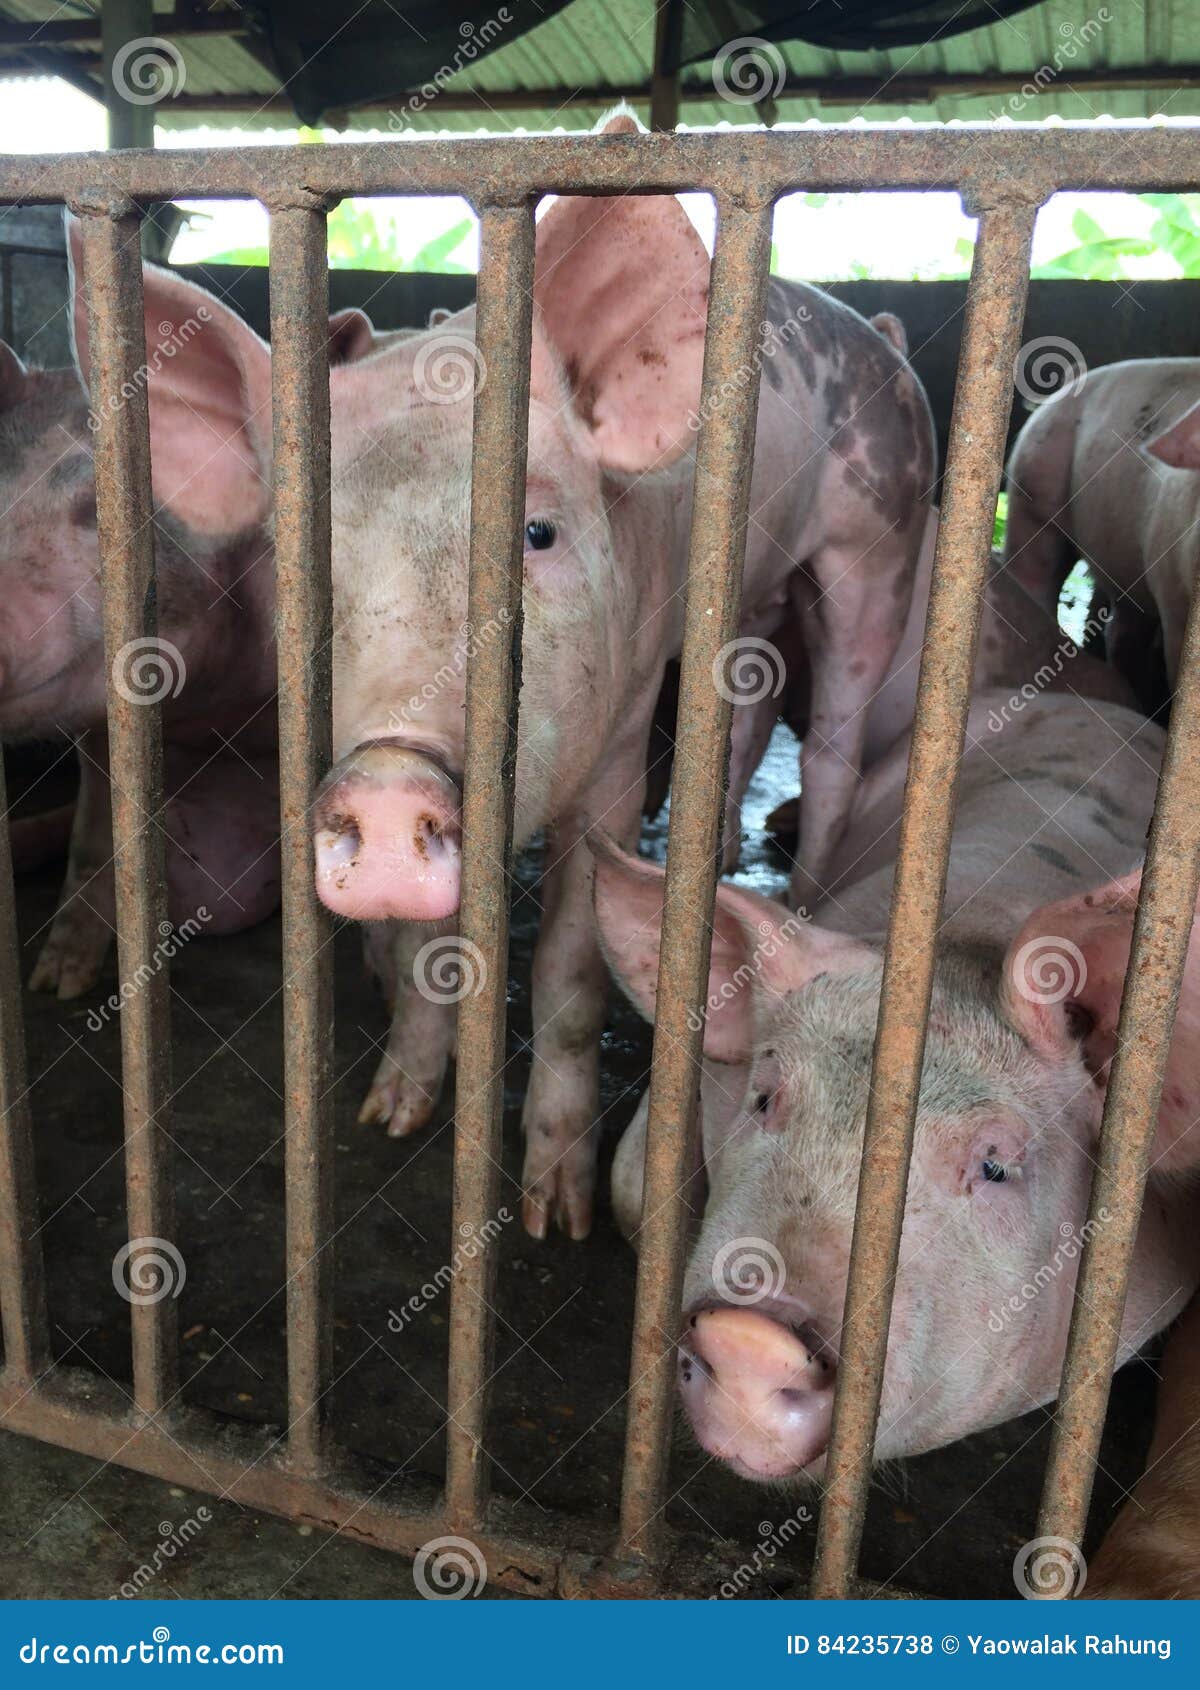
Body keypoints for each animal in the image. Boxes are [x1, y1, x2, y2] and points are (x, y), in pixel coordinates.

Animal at [312, 112, 934, 1238]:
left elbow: (569, 964)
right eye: (312, 555)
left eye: (538, 534)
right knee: (747, 713)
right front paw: (392, 1115)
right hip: (750, 595)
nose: (386, 784)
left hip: (880, 538)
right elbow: (429, 957)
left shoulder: (628, 700)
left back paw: (805, 893)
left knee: (831, 742)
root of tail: (886, 340)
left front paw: (559, 1215)